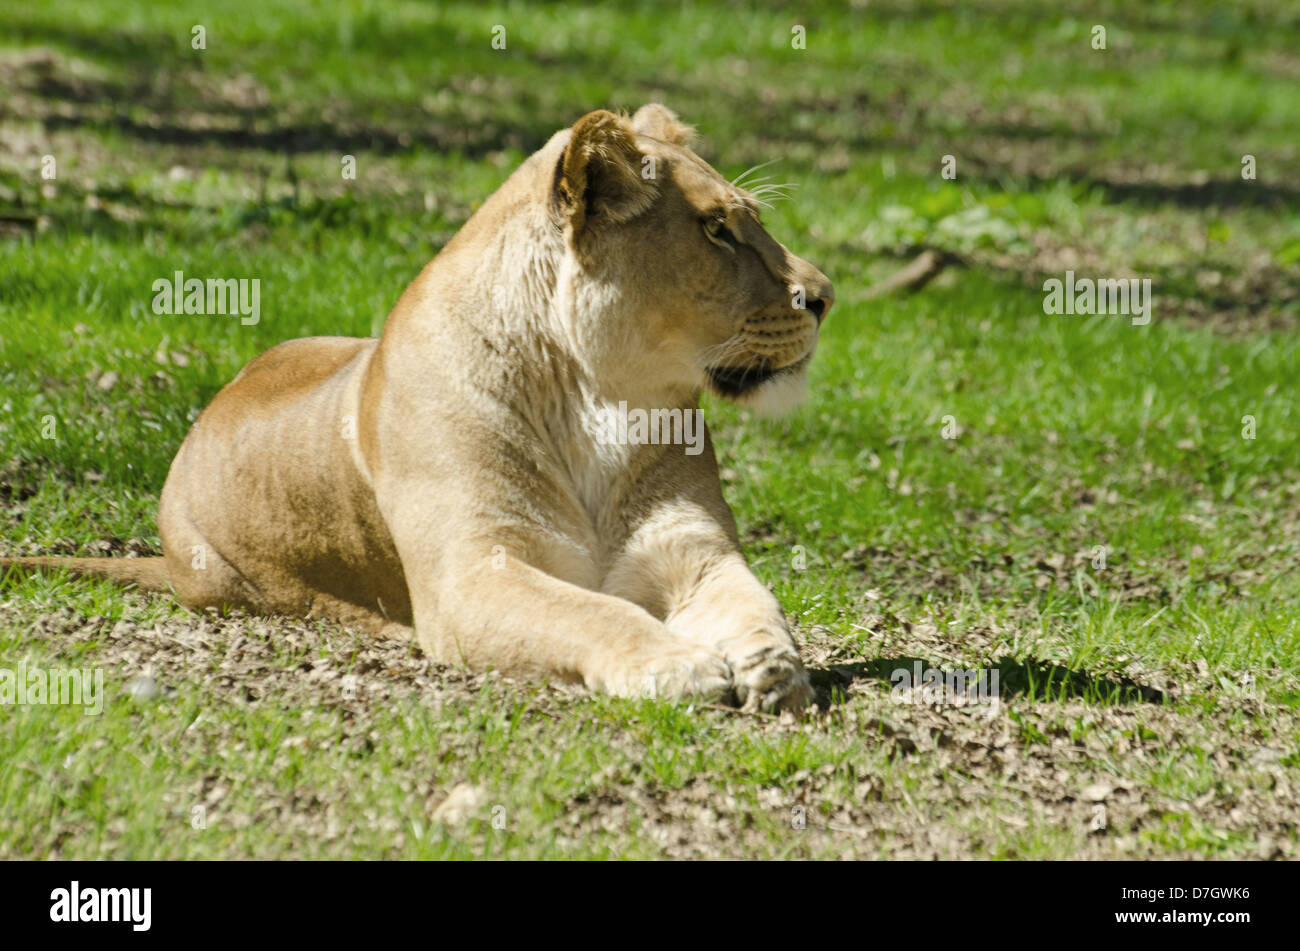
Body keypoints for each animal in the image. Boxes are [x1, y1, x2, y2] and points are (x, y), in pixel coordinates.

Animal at [2, 105, 834, 713]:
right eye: (717, 229)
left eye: (749, 219)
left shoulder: (696, 551)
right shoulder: (471, 576)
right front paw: (677, 663)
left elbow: (753, 599)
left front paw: (772, 665)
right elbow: (594, 612)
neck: (599, 401)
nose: (825, 296)